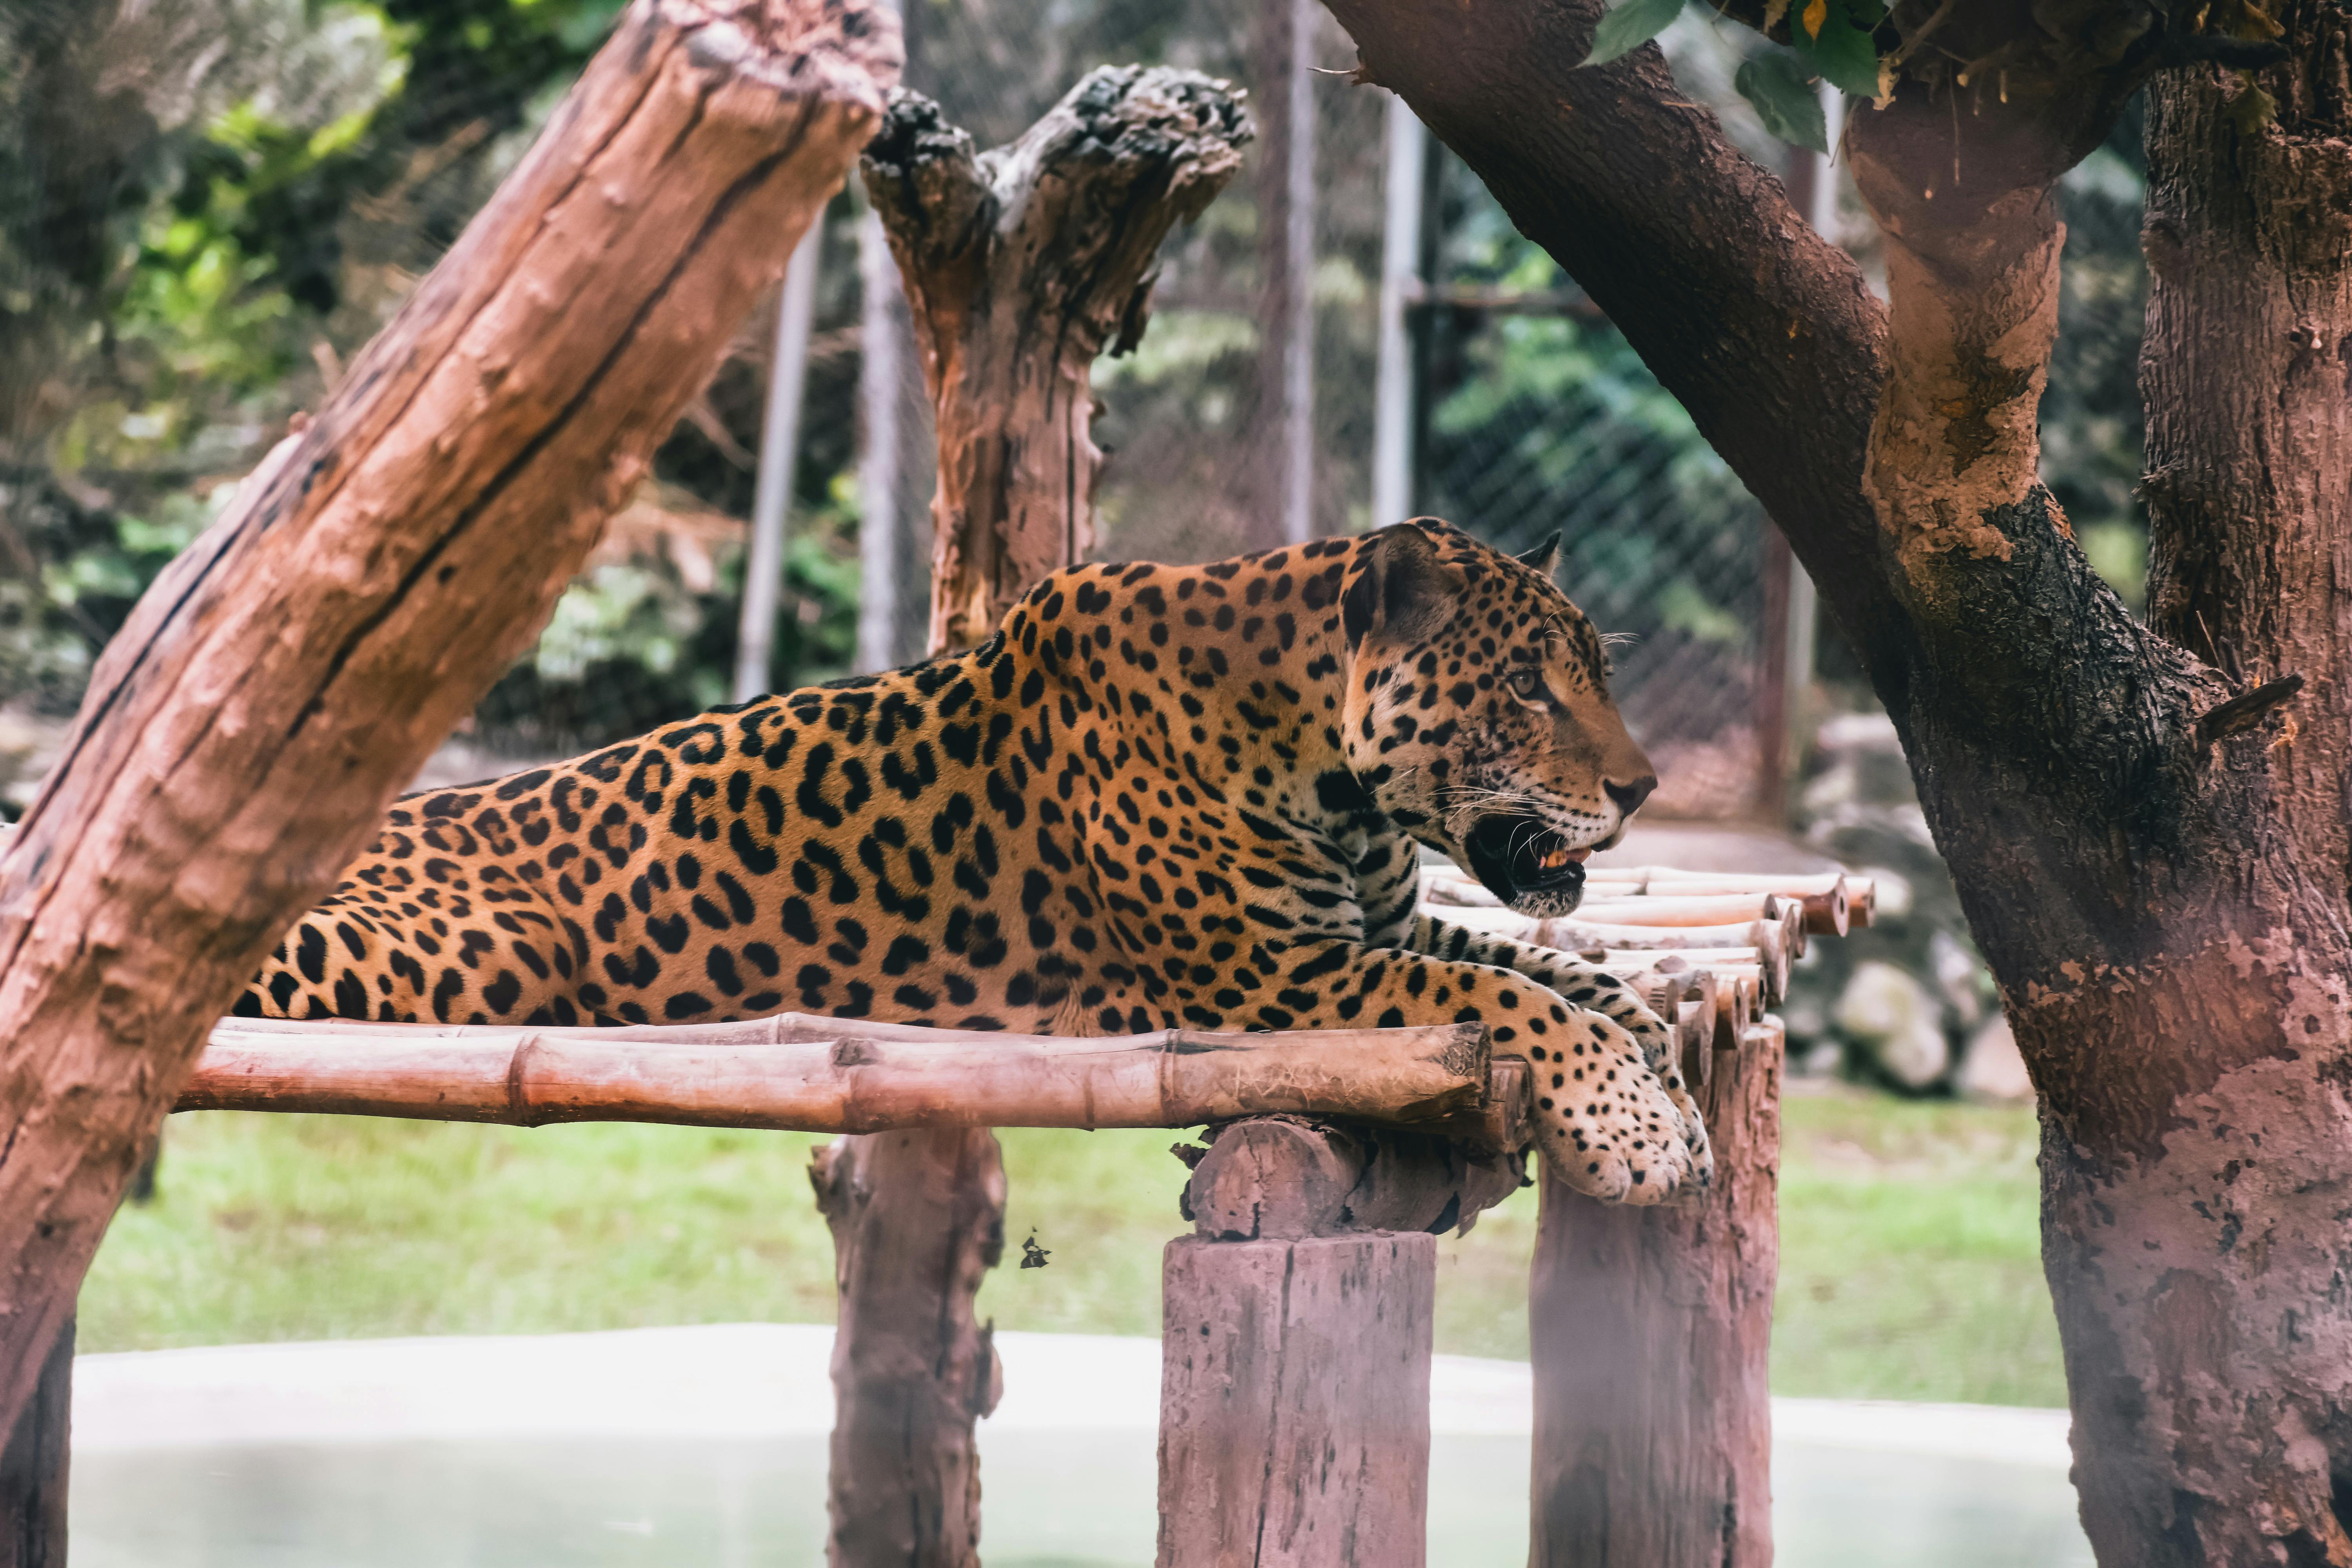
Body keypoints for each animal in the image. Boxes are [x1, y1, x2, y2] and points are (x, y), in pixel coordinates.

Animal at [240, 519, 1711, 1203]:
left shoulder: (1376, 933)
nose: (1642, 788)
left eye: (1591, 668)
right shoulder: (1268, 978)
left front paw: (1666, 1083)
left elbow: (1563, 973)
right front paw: (1639, 1133)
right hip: (483, 948)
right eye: (1525, 686)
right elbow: (1512, 993)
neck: (1342, 791)